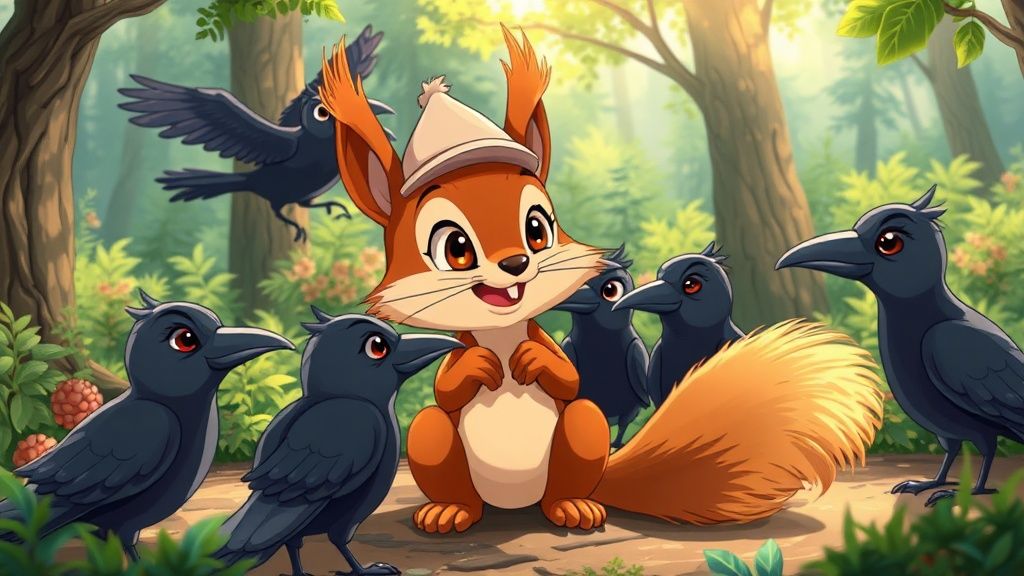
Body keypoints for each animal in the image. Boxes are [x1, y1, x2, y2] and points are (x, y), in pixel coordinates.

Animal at [317, 26, 886, 534]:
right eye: (454, 248)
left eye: (538, 229)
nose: (515, 264)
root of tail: (515, 504)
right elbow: (448, 386)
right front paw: (476, 367)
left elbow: (567, 378)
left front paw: (533, 360)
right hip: (435, 438)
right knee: (437, 429)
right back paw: (451, 511)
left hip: (580, 432)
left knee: (583, 435)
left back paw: (574, 506)